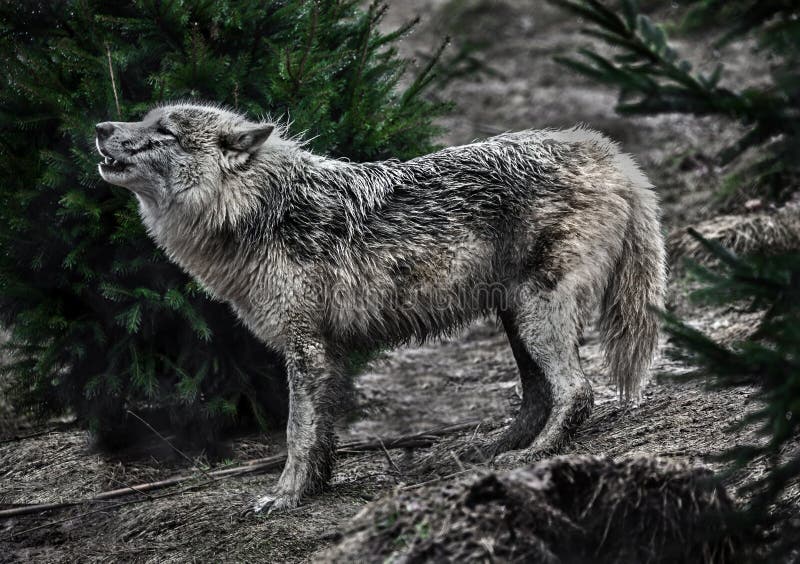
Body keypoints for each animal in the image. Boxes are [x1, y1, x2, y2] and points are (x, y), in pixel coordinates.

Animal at [96, 102, 666, 513]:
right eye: (142, 118)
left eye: (165, 131)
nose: (99, 126)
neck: (260, 213)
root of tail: (602, 147)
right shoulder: (324, 354)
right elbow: (321, 437)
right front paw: (314, 488)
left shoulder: (305, 348)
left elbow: (297, 433)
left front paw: (285, 496)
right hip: (516, 317)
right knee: (538, 395)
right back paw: (484, 452)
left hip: (535, 314)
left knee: (578, 391)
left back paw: (535, 454)